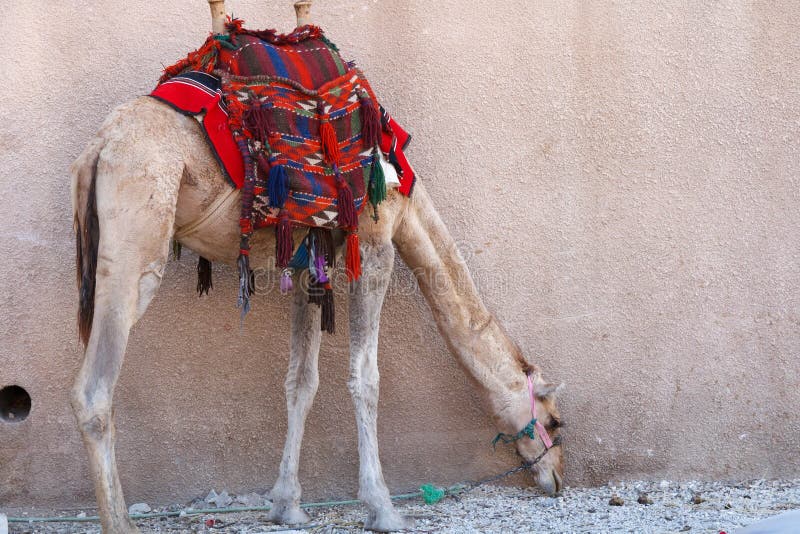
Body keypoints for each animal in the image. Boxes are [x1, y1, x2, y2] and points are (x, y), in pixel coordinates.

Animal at [69, 2, 564, 532]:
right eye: (554, 420)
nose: (558, 478)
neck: (406, 196)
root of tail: (98, 148)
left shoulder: (309, 264)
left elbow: (301, 381)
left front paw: (287, 505)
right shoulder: (375, 244)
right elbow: (365, 379)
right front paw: (382, 507)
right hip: (136, 236)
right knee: (93, 390)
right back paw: (120, 521)